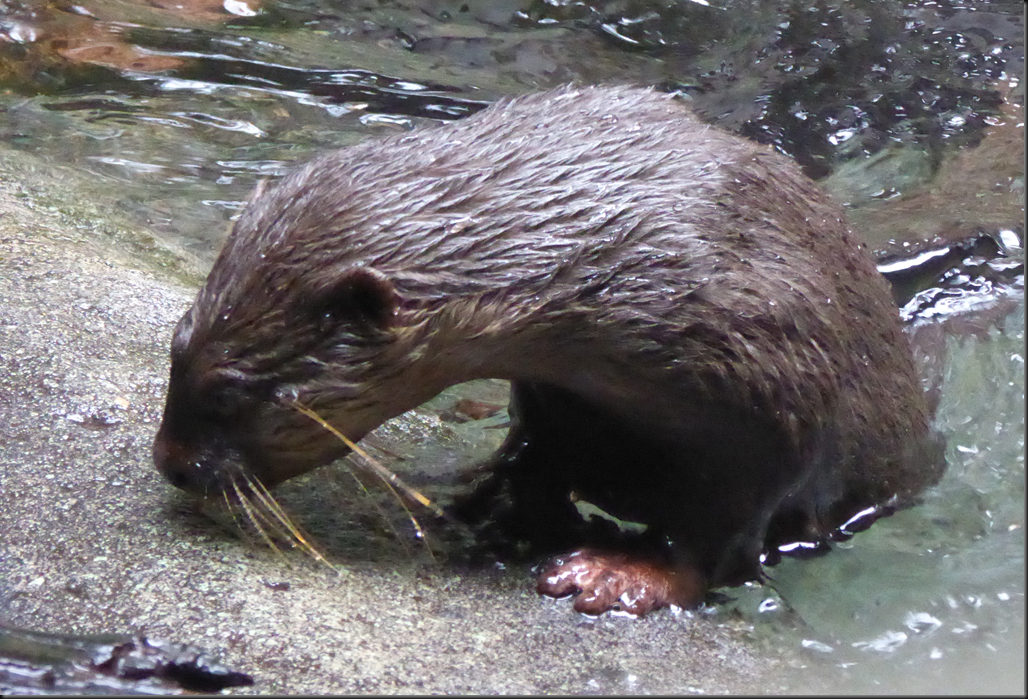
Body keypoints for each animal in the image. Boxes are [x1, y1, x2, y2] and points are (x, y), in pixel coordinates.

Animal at [153, 85, 944, 616]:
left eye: (226, 389)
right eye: (175, 347)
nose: (171, 464)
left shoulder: (772, 390)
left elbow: (719, 538)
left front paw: (620, 576)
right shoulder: (553, 393)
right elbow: (537, 452)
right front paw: (500, 508)